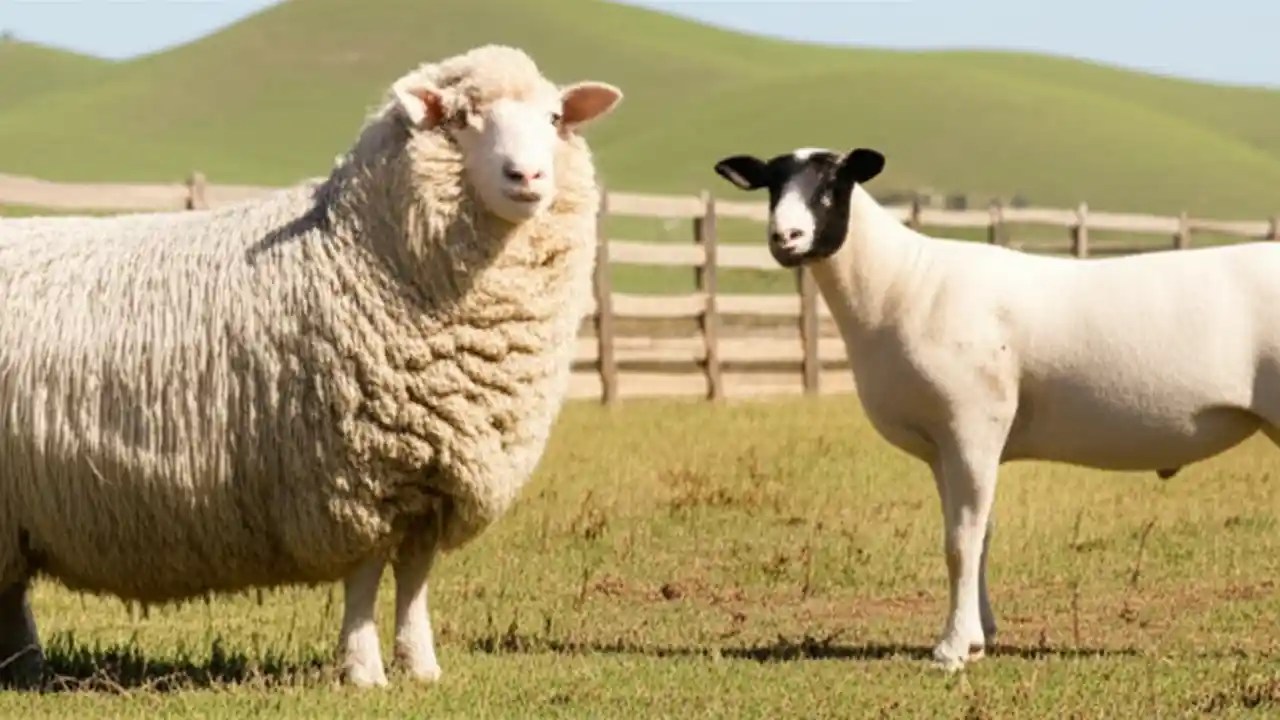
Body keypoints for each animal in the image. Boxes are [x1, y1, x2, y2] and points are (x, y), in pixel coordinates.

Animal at [0, 44, 622, 688]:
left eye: (554, 118)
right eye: (461, 118)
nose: (527, 177)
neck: (365, 249)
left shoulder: (430, 479)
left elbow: (415, 579)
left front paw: (421, 667)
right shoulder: (355, 476)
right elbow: (365, 580)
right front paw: (365, 671)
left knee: (10, 594)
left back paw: (27, 671)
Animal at [712, 146, 1280, 671]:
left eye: (831, 185)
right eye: (771, 185)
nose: (784, 237)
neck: (902, 285)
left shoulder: (972, 423)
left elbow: (960, 541)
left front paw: (951, 650)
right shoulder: (943, 445)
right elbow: (979, 534)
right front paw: (979, 636)